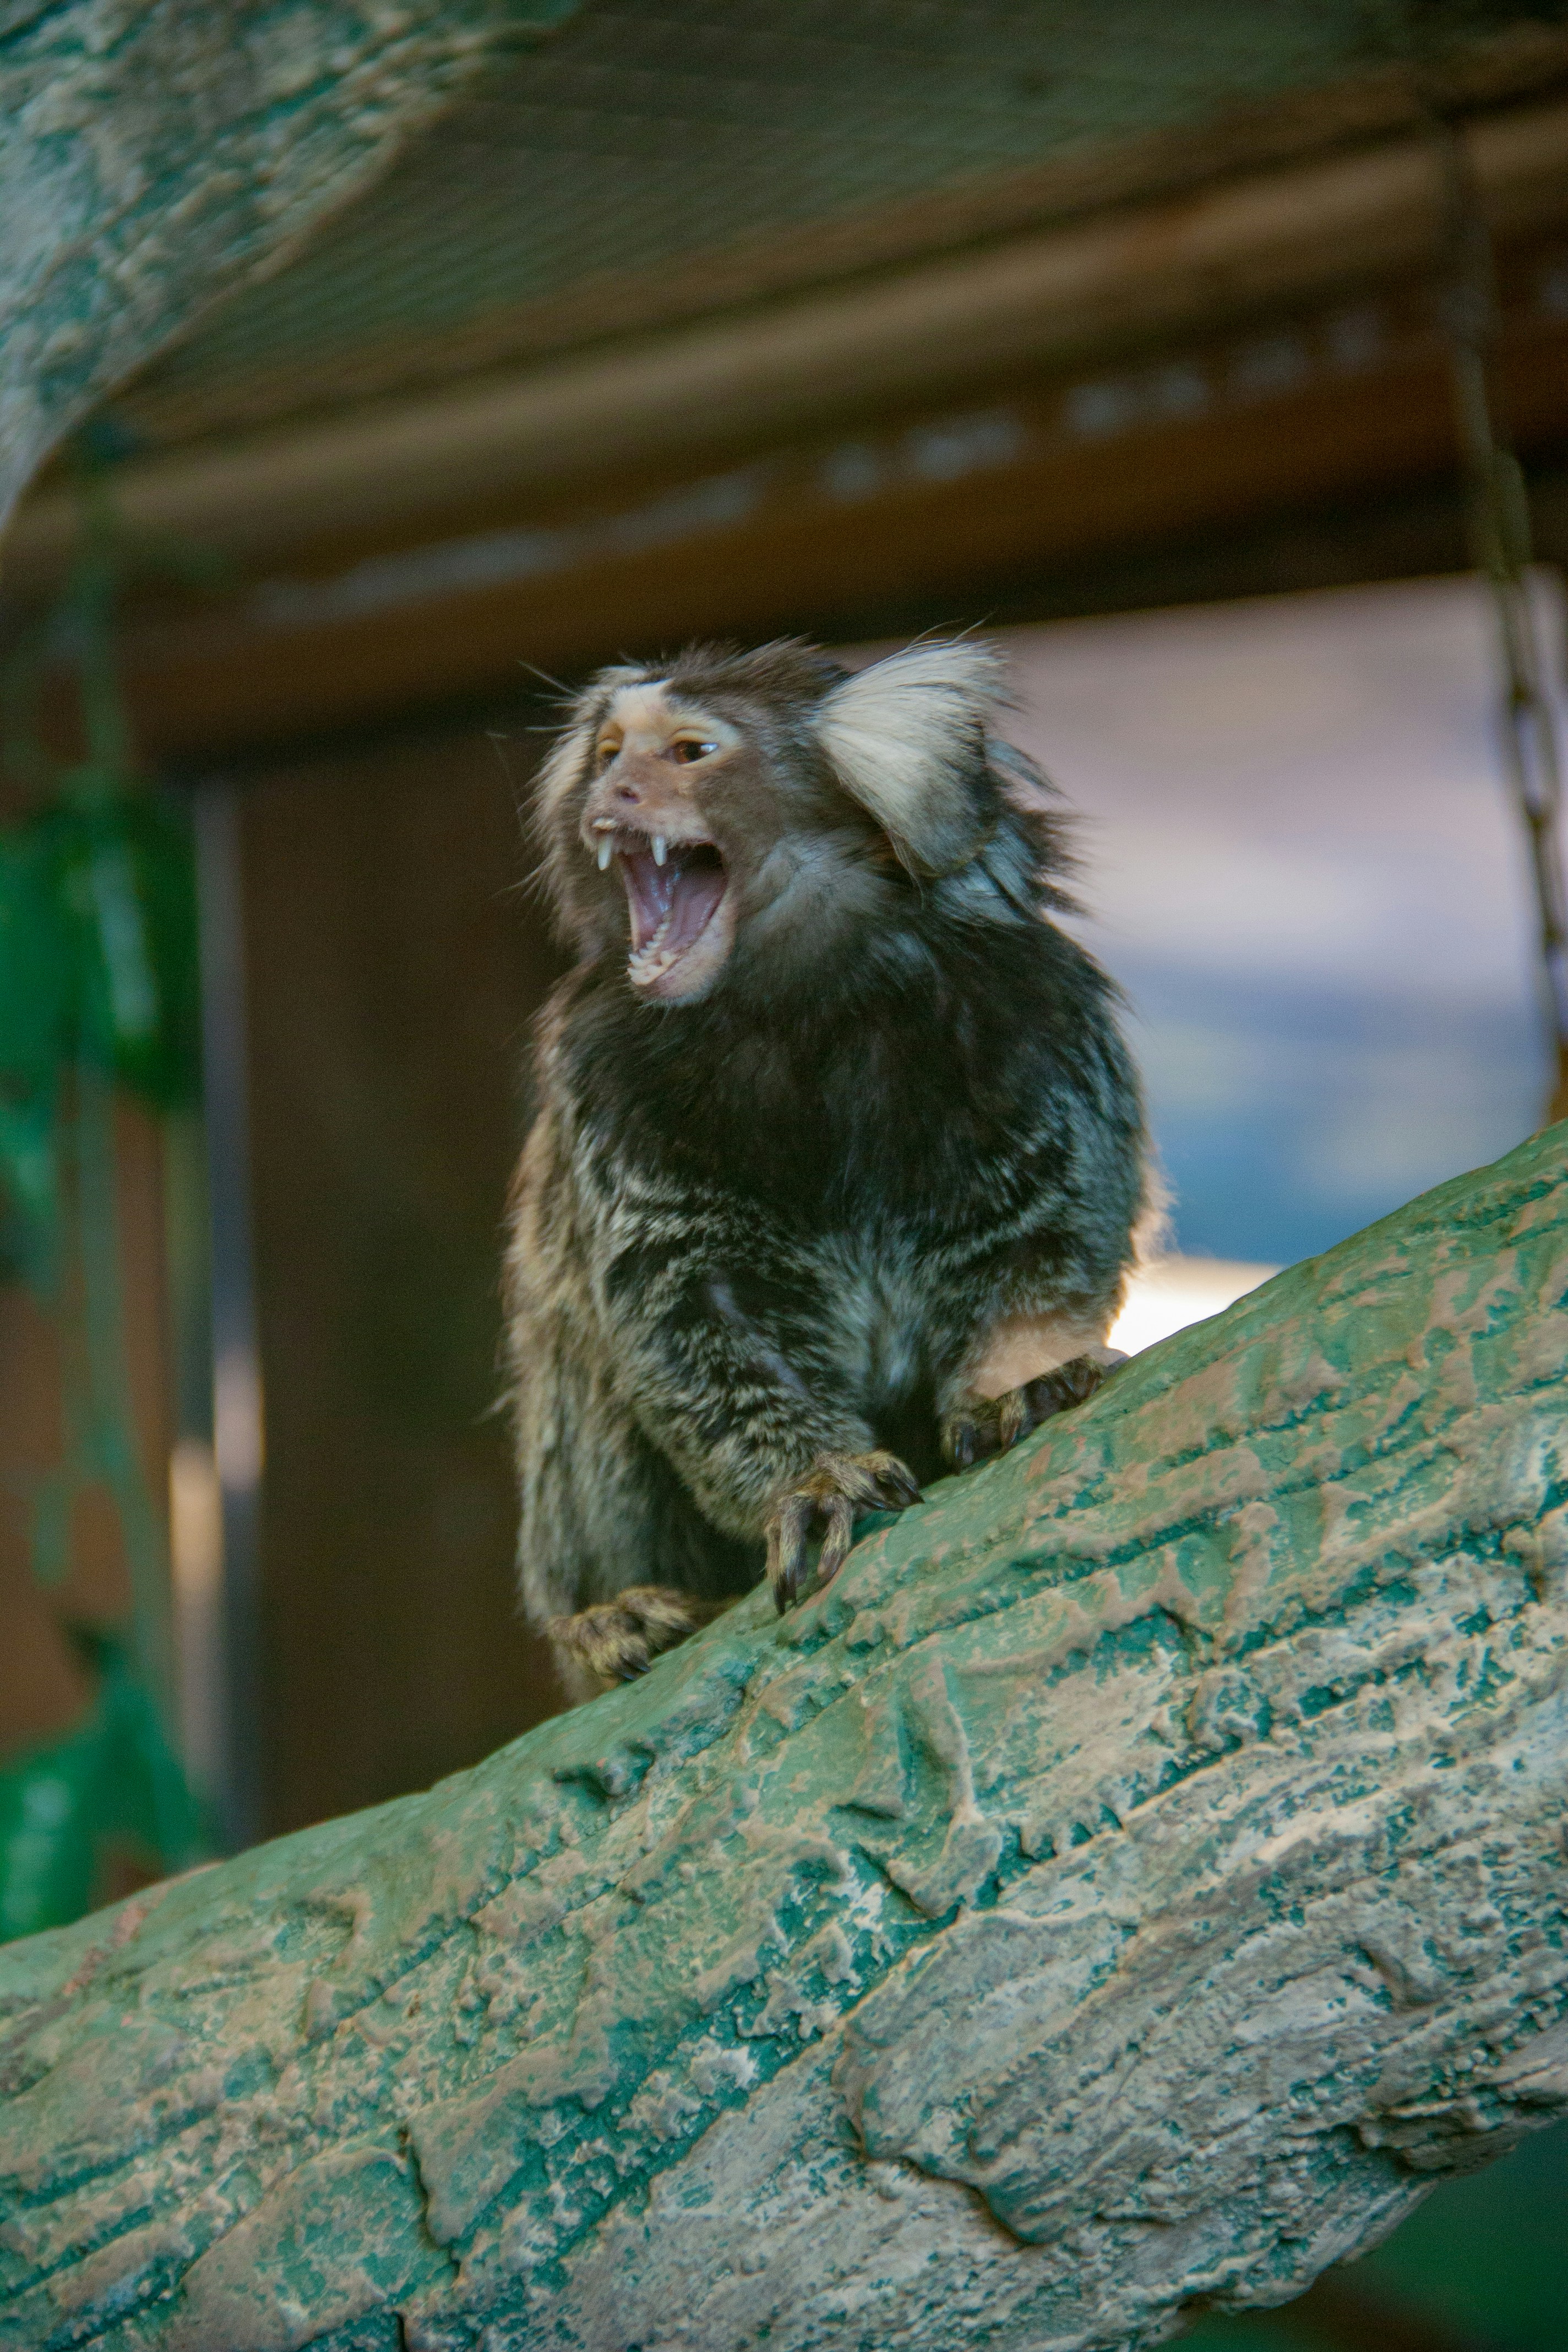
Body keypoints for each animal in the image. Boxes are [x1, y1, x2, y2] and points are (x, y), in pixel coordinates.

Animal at [503, 637, 1147, 1701]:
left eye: (688, 752)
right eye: (606, 753)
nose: (615, 794)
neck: (806, 1007)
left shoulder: (1038, 1023)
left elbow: (1041, 1245)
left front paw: (1017, 1385)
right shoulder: (602, 1084)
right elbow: (687, 1317)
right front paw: (813, 1479)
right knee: (578, 1363)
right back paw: (610, 1617)